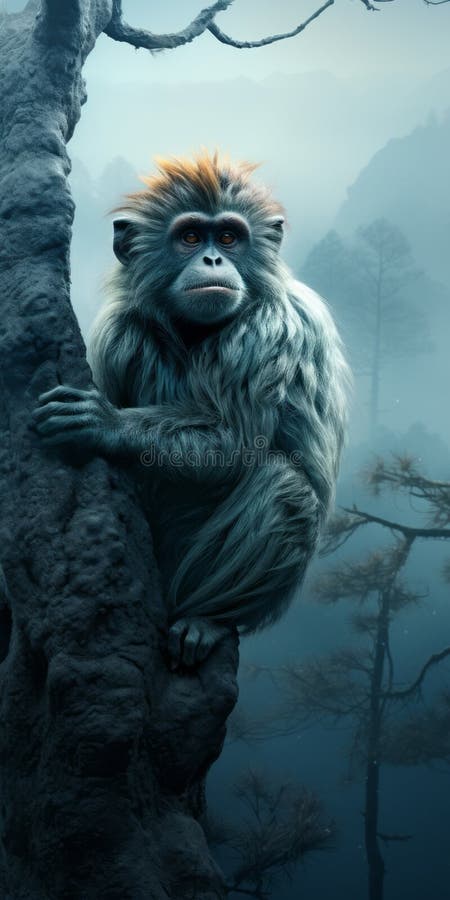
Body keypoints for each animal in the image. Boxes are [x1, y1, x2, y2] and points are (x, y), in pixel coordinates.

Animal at [33, 151, 350, 669]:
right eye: (190, 238)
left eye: (229, 237)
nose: (213, 259)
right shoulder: (119, 331)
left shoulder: (269, 330)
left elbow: (238, 446)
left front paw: (108, 425)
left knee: (285, 486)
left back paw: (208, 617)